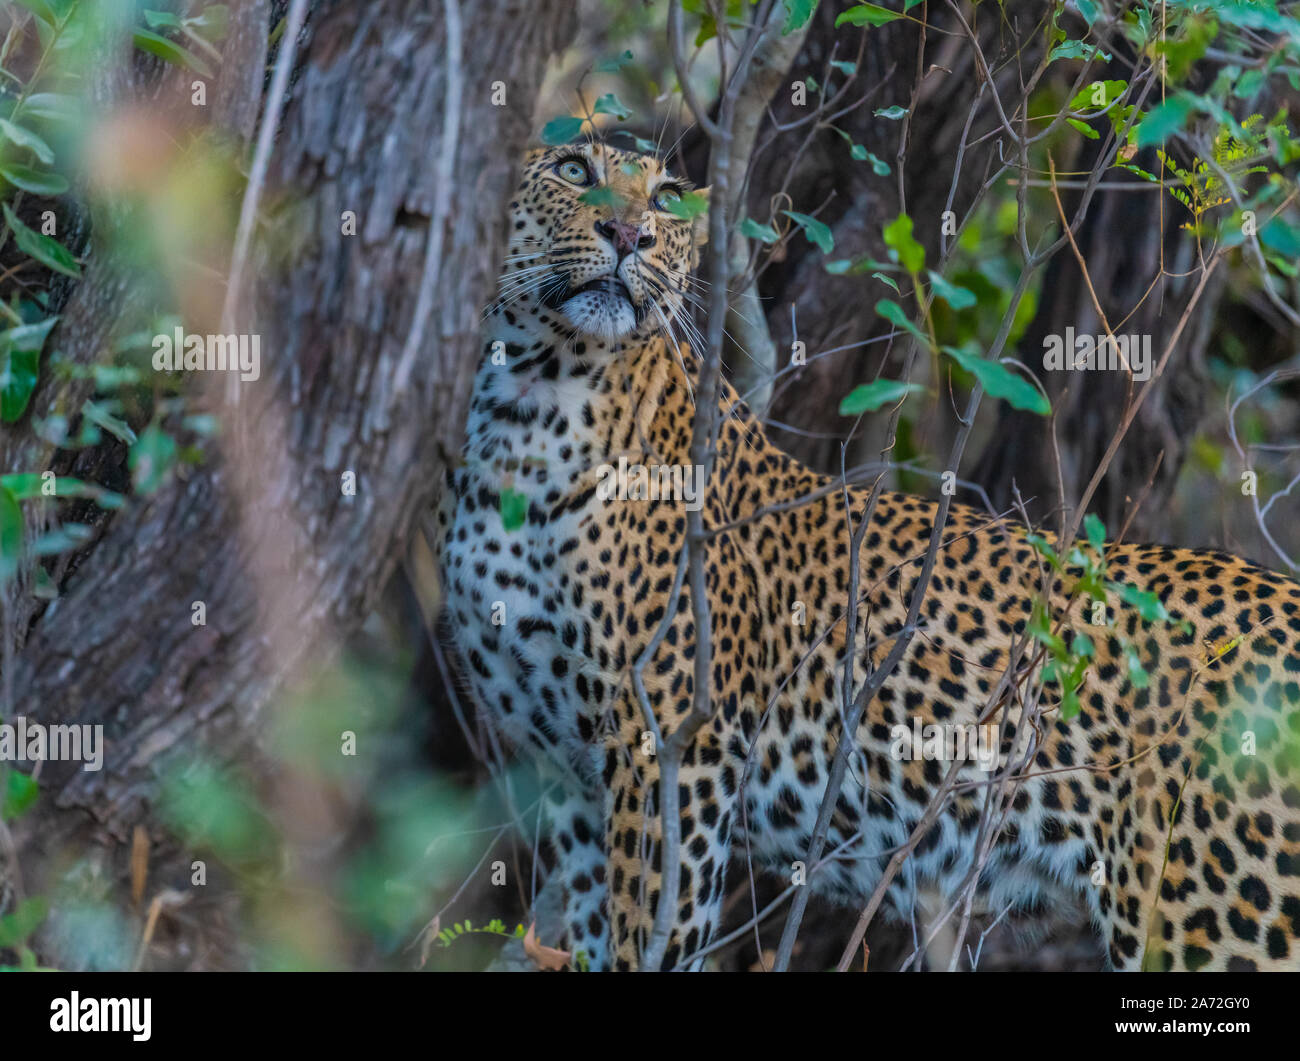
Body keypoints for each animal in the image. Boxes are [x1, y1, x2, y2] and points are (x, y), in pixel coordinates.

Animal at [435, 139, 1300, 972]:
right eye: (572, 169)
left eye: (669, 198)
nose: (627, 234)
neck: (528, 405)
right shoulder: (569, 777)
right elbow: (588, 930)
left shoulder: (673, 753)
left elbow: (654, 936)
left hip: (1216, 917)